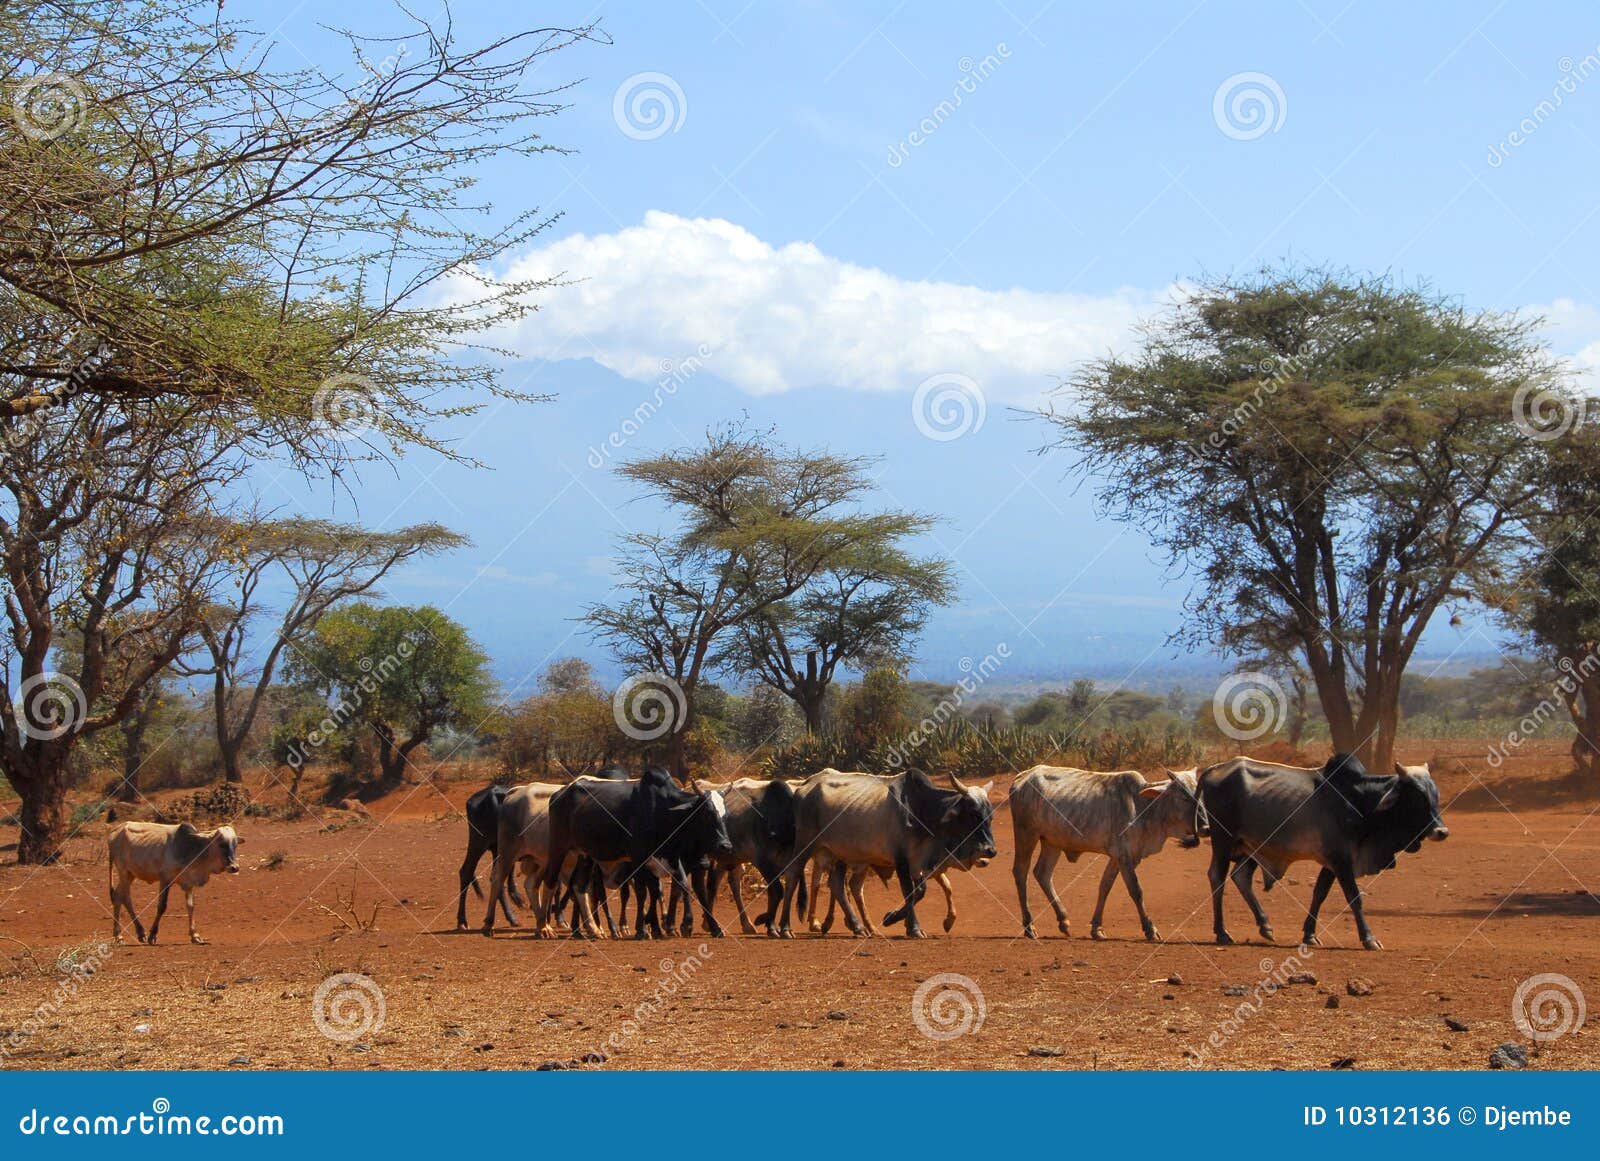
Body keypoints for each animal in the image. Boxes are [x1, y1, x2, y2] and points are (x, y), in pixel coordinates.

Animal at [107, 821, 242, 945]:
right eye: (221, 844)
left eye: (235, 845)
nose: (234, 867)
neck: (192, 848)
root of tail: (116, 830)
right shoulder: (165, 879)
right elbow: (162, 906)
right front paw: (153, 935)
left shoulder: (189, 883)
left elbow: (190, 906)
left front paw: (195, 936)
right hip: (123, 872)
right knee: (121, 897)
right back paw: (122, 935)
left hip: (130, 875)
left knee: (121, 897)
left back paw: (131, 934)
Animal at [777, 768, 996, 939]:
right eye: (973, 814)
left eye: (990, 816)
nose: (991, 850)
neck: (920, 809)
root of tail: (805, 786)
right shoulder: (901, 860)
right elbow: (910, 892)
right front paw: (911, 927)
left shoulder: (920, 864)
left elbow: (921, 891)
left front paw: (896, 919)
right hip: (806, 844)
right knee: (793, 874)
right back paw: (785, 928)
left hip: (840, 854)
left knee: (838, 885)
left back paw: (858, 927)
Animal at [1010, 765, 1206, 941]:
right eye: (1183, 797)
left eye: (1201, 796)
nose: (1204, 826)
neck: (1144, 805)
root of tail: (1022, 776)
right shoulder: (1124, 856)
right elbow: (1136, 890)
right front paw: (1150, 929)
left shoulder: (1120, 857)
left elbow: (1105, 886)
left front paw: (1097, 928)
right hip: (1026, 834)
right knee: (1021, 872)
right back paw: (1029, 927)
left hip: (1052, 842)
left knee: (1042, 873)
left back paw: (1063, 920)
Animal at [1198, 753, 1448, 950]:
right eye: (1416, 797)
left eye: (1435, 795)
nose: (1442, 831)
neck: (1360, 801)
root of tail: (1213, 769)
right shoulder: (1341, 860)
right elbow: (1354, 897)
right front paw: (1369, 938)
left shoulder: (1332, 863)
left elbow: (1319, 893)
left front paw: (1309, 935)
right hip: (1223, 841)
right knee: (1217, 877)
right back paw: (1222, 933)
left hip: (1252, 848)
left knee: (1240, 876)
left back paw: (1265, 926)